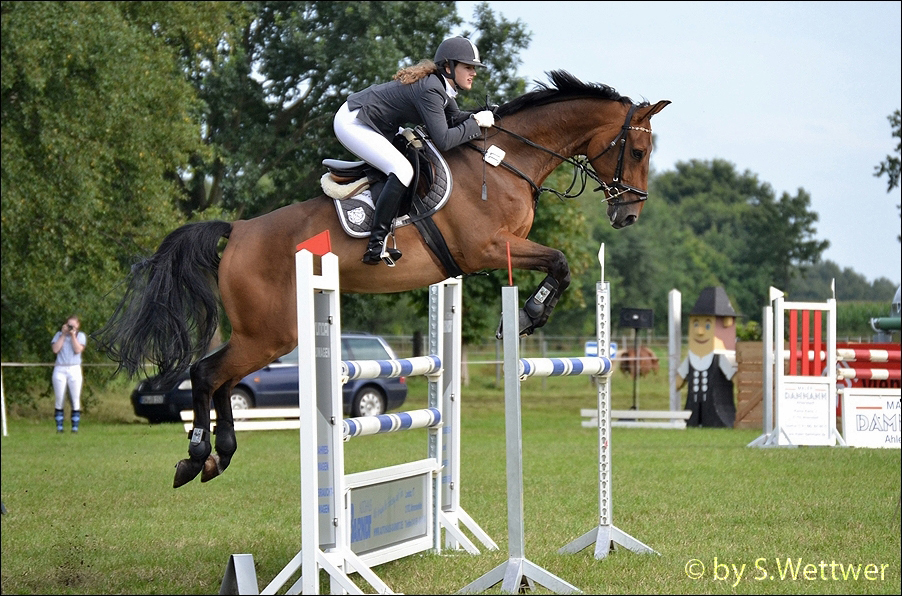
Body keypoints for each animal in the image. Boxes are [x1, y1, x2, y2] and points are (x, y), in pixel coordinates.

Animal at [95, 70, 669, 488]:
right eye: (638, 152)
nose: (629, 216)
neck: (507, 161)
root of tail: (238, 230)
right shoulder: (487, 248)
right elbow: (561, 262)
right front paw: (526, 317)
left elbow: (559, 264)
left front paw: (528, 316)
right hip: (271, 333)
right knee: (208, 374)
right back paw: (196, 456)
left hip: (265, 334)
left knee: (221, 379)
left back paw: (218, 457)